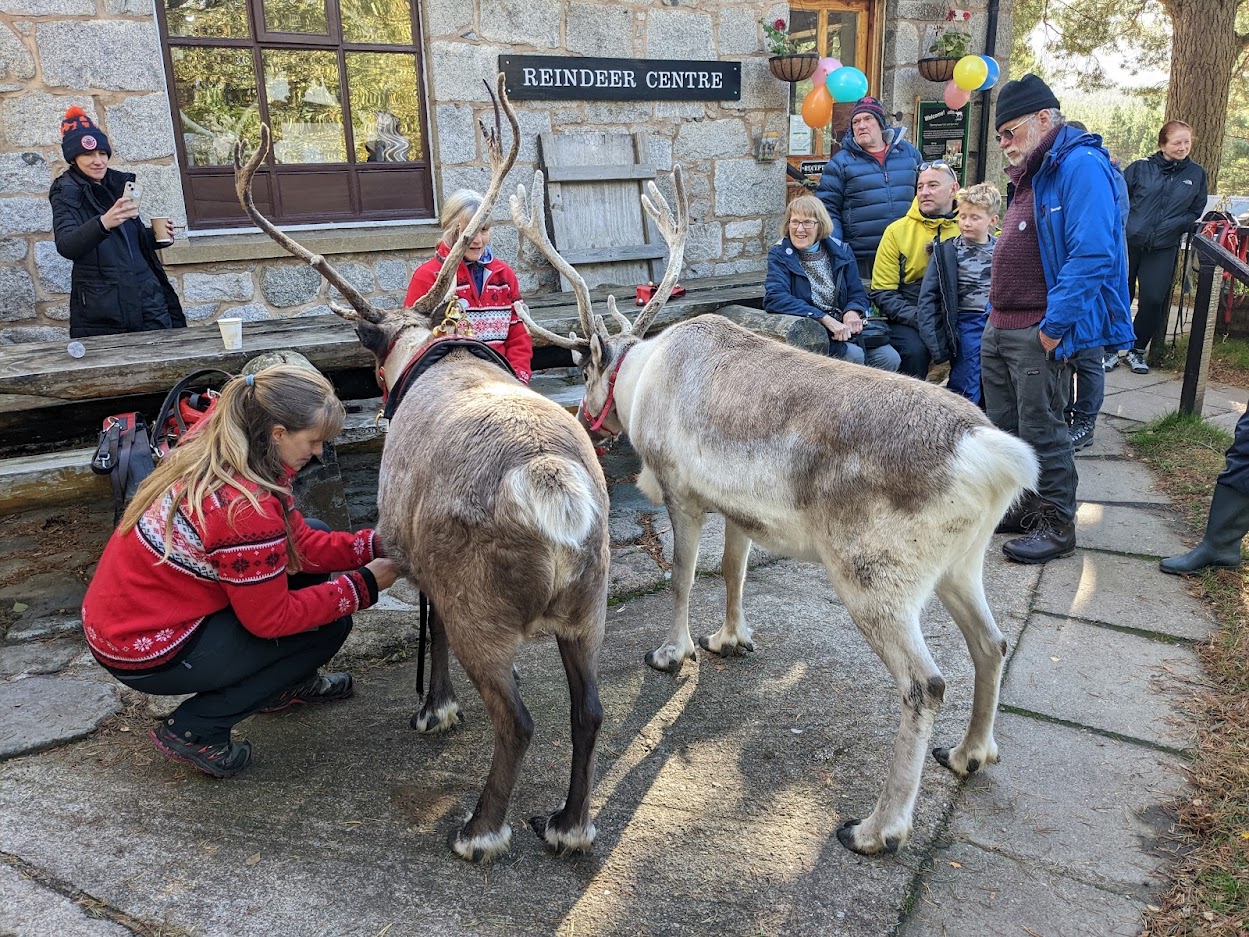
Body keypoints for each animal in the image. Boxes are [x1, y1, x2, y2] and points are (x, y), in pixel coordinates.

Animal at [232, 76, 609, 863]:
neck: (430, 354)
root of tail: (550, 483)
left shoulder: (417, 556)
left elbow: (429, 635)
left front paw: (435, 709)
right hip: (588, 602)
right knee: (589, 707)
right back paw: (567, 824)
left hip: (482, 610)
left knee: (519, 718)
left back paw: (480, 830)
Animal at [511, 166, 1040, 856]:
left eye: (583, 362)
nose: (578, 416)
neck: (643, 374)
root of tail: (989, 454)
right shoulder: (740, 513)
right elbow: (734, 572)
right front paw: (729, 640)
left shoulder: (683, 495)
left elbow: (682, 578)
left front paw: (672, 652)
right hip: (960, 565)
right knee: (992, 643)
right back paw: (970, 754)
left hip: (874, 580)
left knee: (925, 683)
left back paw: (877, 829)